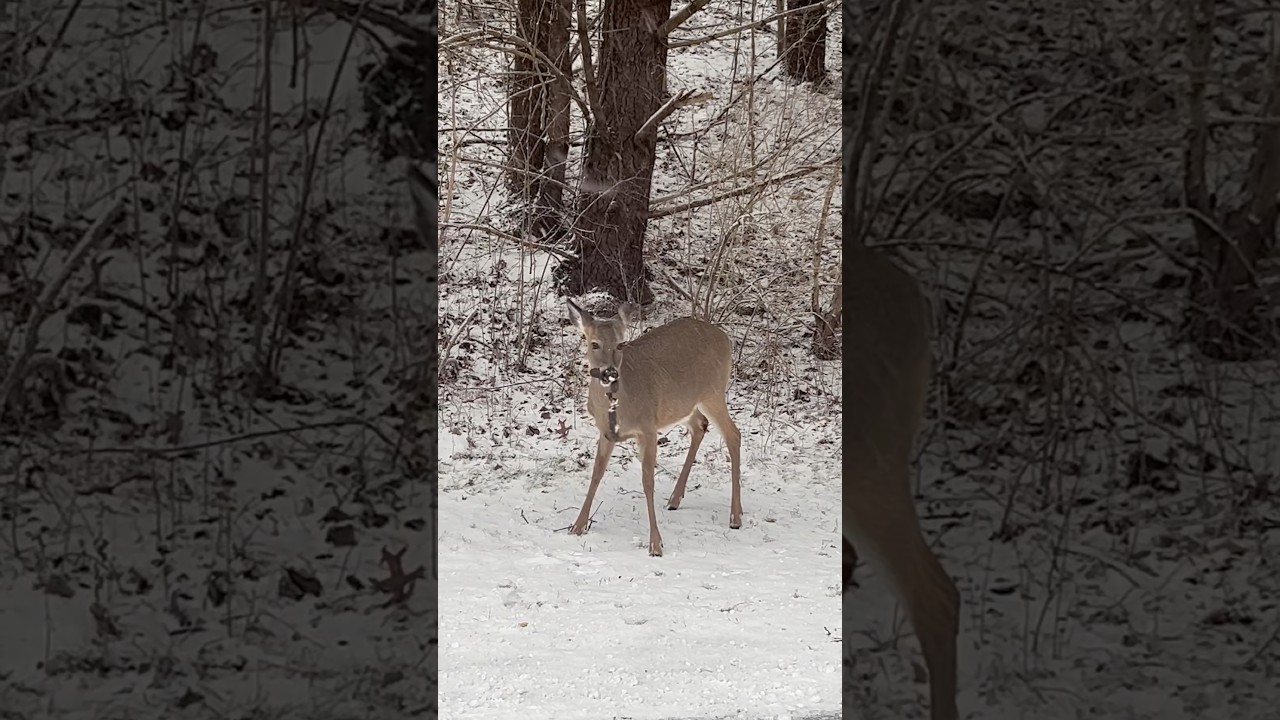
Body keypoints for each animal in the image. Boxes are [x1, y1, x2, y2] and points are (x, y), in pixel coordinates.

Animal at [565, 299, 742, 557]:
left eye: (621, 344)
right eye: (594, 343)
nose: (610, 372)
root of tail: (725, 337)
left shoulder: (647, 428)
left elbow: (648, 482)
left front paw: (655, 544)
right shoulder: (605, 433)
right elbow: (596, 473)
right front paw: (577, 526)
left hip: (713, 392)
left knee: (733, 434)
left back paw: (735, 516)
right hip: (683, 404)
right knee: (700, 425)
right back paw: (675, 499)